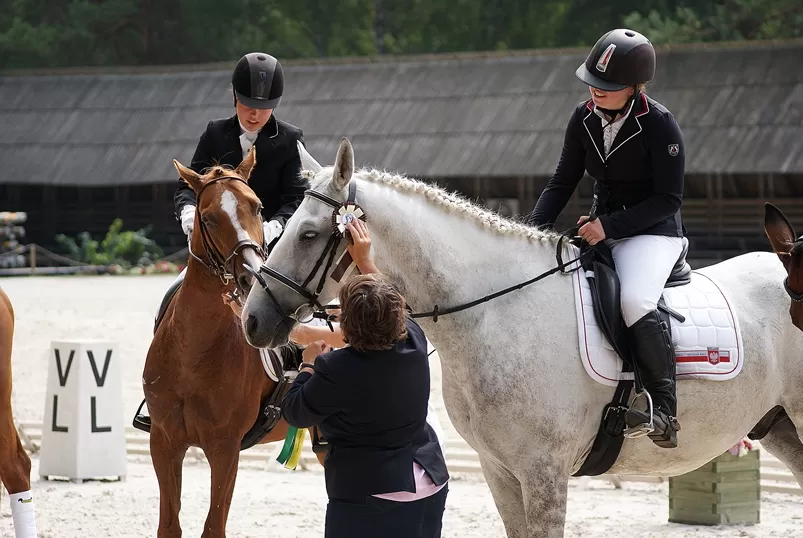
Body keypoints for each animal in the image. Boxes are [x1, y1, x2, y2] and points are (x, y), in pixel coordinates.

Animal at [140, 147, 322, 536]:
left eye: (257, 207)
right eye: (207, 219)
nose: (251, 275)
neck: (194, 353)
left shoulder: (224, 449)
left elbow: (214, 527)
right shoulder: (164, 442)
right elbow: (169, 525)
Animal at [242, 136, 803, 532]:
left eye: (309, 234)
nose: (253, 321)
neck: (494, 315)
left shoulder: (544, 474)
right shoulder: (500, 471)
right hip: (779, 427)